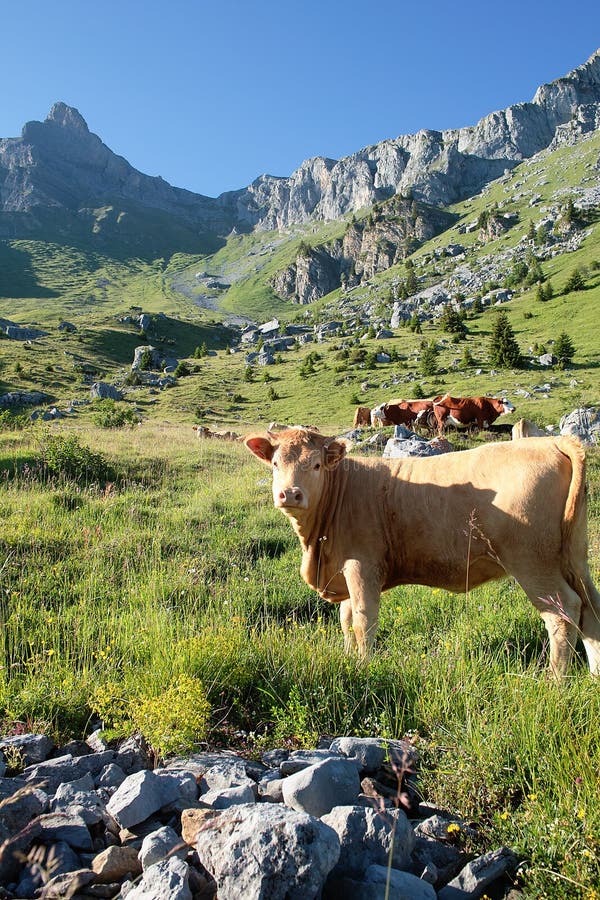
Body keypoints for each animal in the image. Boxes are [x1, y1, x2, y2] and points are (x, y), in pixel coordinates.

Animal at [245, 427, 600, 678]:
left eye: (316, 465)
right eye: (275, 464)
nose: (290, 494)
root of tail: (552, 442)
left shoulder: (361, 566)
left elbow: (363, 620)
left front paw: (363, 667)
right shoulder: (343, 570)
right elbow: (346, 621)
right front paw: (347, 658)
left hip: (533, 561)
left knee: (563, 612)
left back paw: (555, 681)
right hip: (573, 556)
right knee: (591, 608)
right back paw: (595, 674)